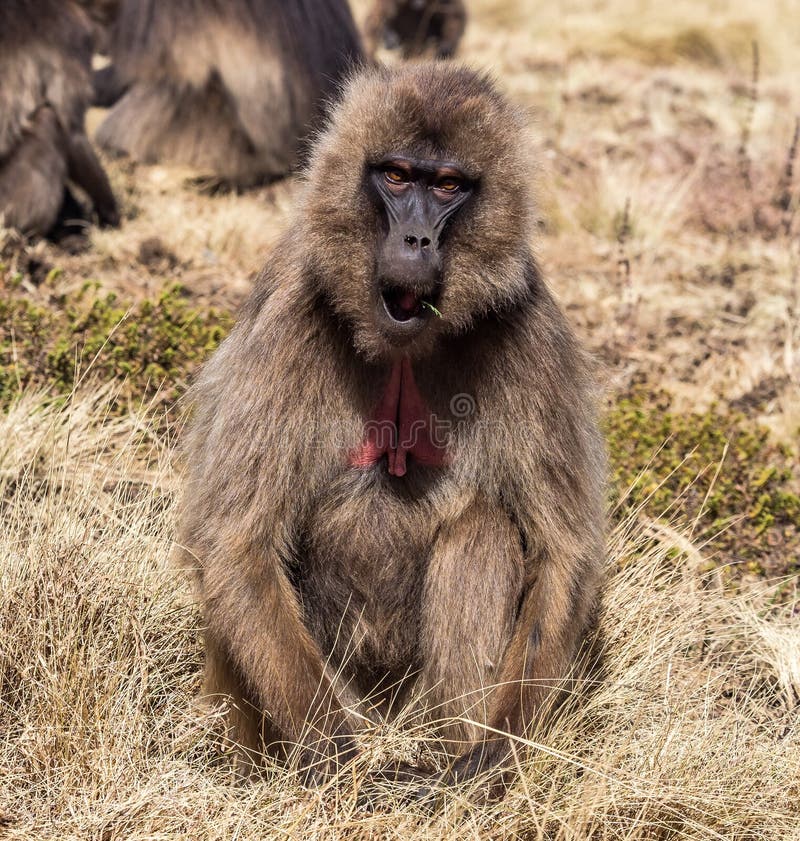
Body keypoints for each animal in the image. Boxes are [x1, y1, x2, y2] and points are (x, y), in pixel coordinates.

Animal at [176, 64, 605, 799]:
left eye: (448, 185)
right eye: (398, 176)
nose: (415, 242)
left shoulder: (528, 325)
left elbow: (563, 552)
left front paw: (486, 764)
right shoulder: (292, 308)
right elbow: (235, 541)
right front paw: (341, 770)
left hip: (420, 703)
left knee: (482, 529)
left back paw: (444, 754)